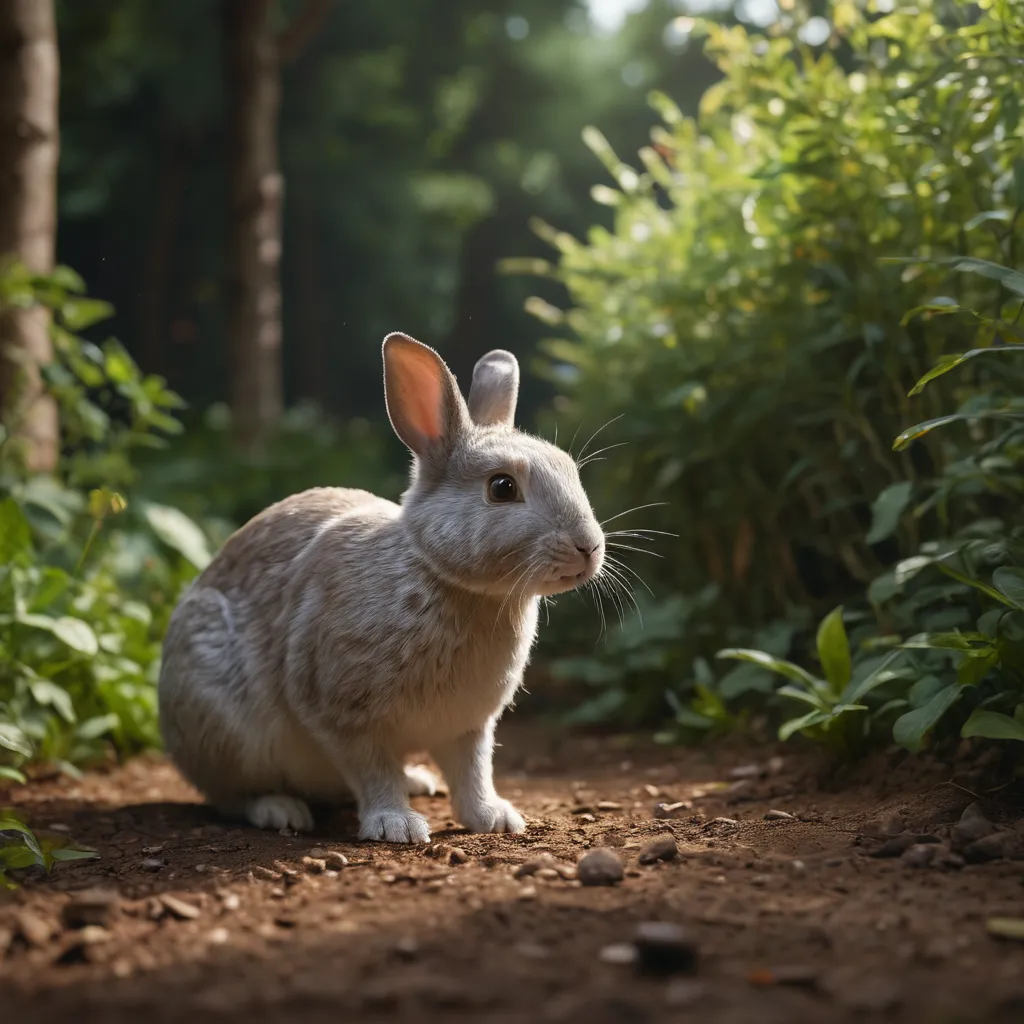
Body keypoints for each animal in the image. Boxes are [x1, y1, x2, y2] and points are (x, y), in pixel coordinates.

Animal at [157, 332, 605, 843]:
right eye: (502, 487)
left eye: (570, 469)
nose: (589, 546)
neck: (444, 576)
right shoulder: (344, 714)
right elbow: (372, 770)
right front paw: (397, 826)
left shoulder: (467, 726)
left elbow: (472, 773)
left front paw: (495, 818)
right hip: (226, 731)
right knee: (229, 795)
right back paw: (279, 810)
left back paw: (418, 782)